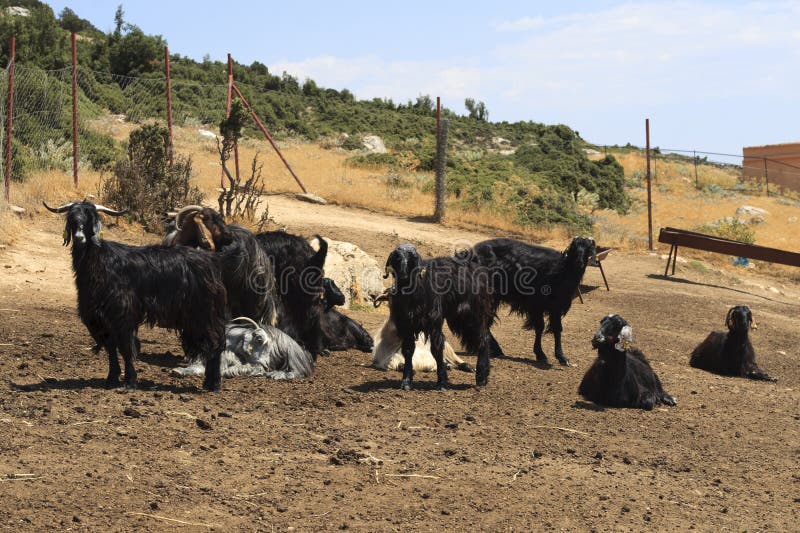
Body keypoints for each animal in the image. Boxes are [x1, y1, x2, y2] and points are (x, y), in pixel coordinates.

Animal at [44, 201, 226, 391]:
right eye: (72, 218)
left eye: (90, 216)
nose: (80, 237)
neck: (100, 261)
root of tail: (211, 262)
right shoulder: (101, 318)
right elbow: (111, 347)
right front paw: (111, 379)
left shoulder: (123, 314)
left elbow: (126, 347)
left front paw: (130, 382)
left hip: (205, 312)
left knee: (216, 343)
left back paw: (213, 384)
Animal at [172, 317, 314, 380]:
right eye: (259, 339)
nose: (265, 366)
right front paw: (178, 370)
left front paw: (229, 372)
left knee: (297, 371)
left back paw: (276, 374)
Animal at [385, 243, 494, 390]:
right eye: (397, 257)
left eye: (412, 258)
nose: (403, 276)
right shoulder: (406, 324)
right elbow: (408, 350)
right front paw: (406, 381)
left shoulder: (434, 322)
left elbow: (436, 349)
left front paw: (442, 382)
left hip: (471, 316)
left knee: (483, 339)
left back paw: (481, 376)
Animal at [470, 237, 596, 366]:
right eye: (574, 248)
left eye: (588, 249)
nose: (579, 262)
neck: (561, 270)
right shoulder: (536, 305)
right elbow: (540, 327)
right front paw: (540, 354)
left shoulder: (556, 307)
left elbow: (557, 329)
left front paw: (562, 357)